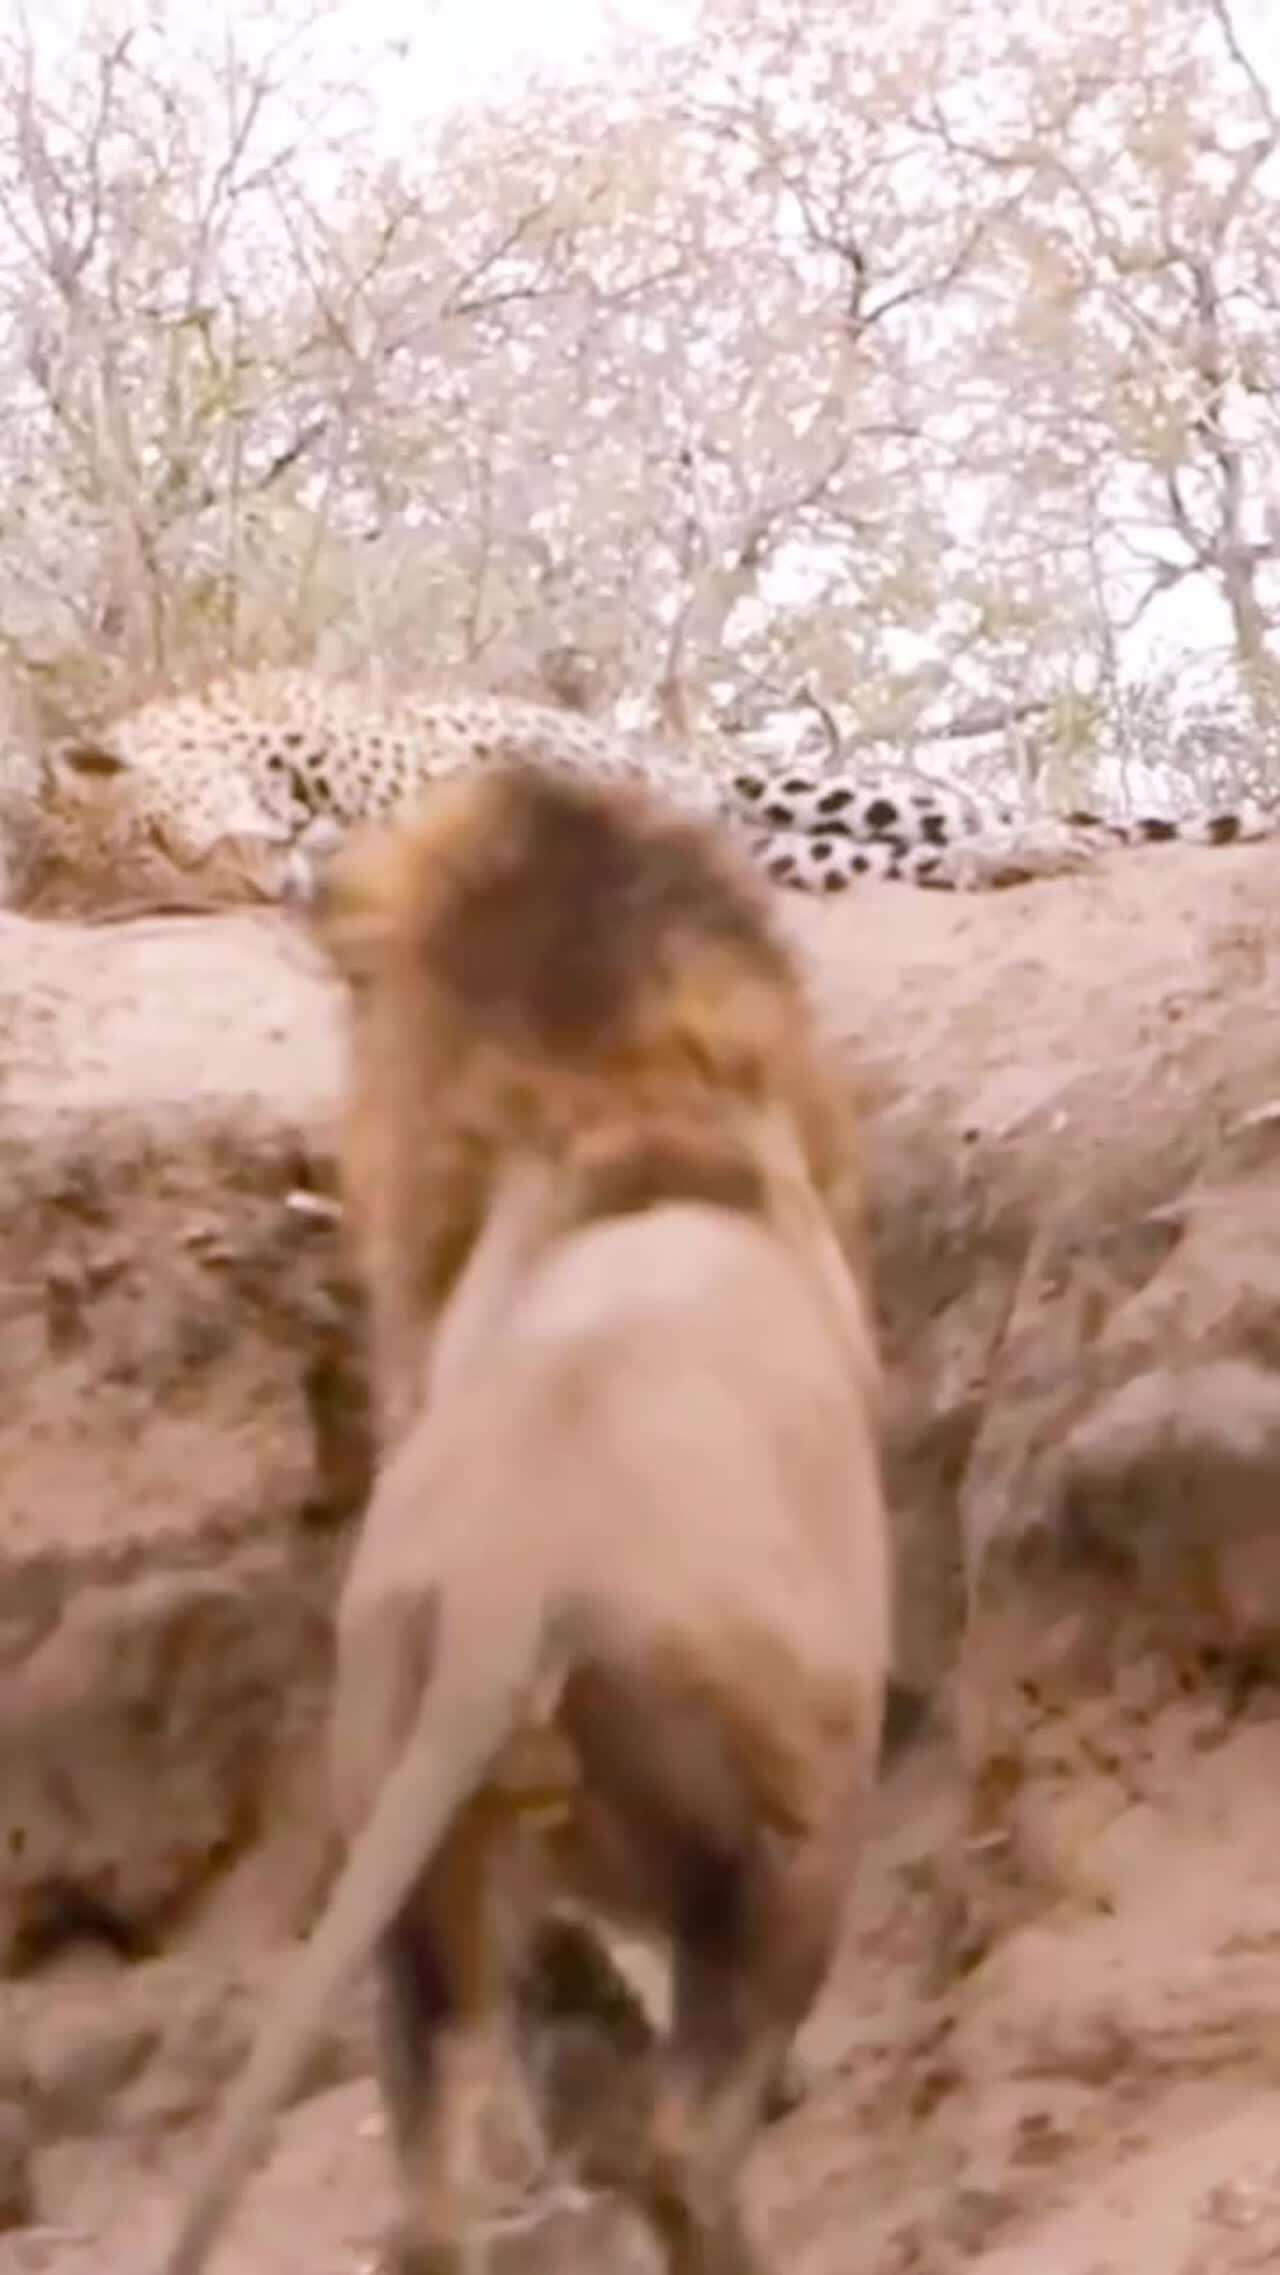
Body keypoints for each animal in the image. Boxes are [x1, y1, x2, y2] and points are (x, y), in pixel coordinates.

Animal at [157, 765, 888, 2275]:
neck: (617, 1110)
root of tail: (512, 1587)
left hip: (410, 1851)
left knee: (433, 2193)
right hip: (794, 1823)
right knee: (685, 2132)